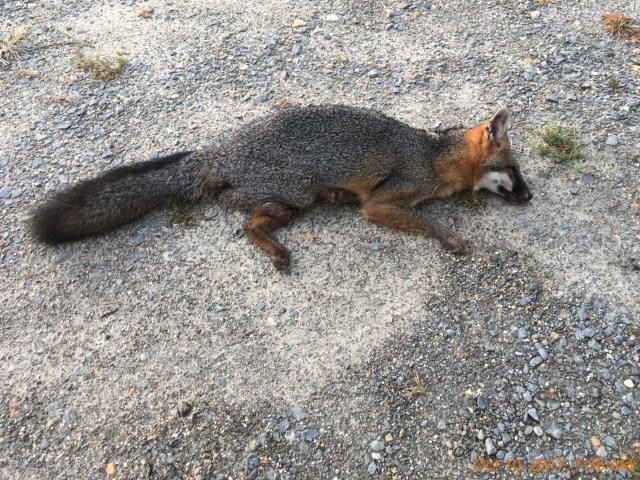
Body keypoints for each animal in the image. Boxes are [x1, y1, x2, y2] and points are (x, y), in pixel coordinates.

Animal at [30, 104, 532, 270]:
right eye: (513, 170)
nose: (531, 197)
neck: (433, 154)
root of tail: (217, 150)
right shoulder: (381, 203)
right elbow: (425, 220)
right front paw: (450, 238)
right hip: (297, 193)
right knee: (245, 222)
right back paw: (276, 248)